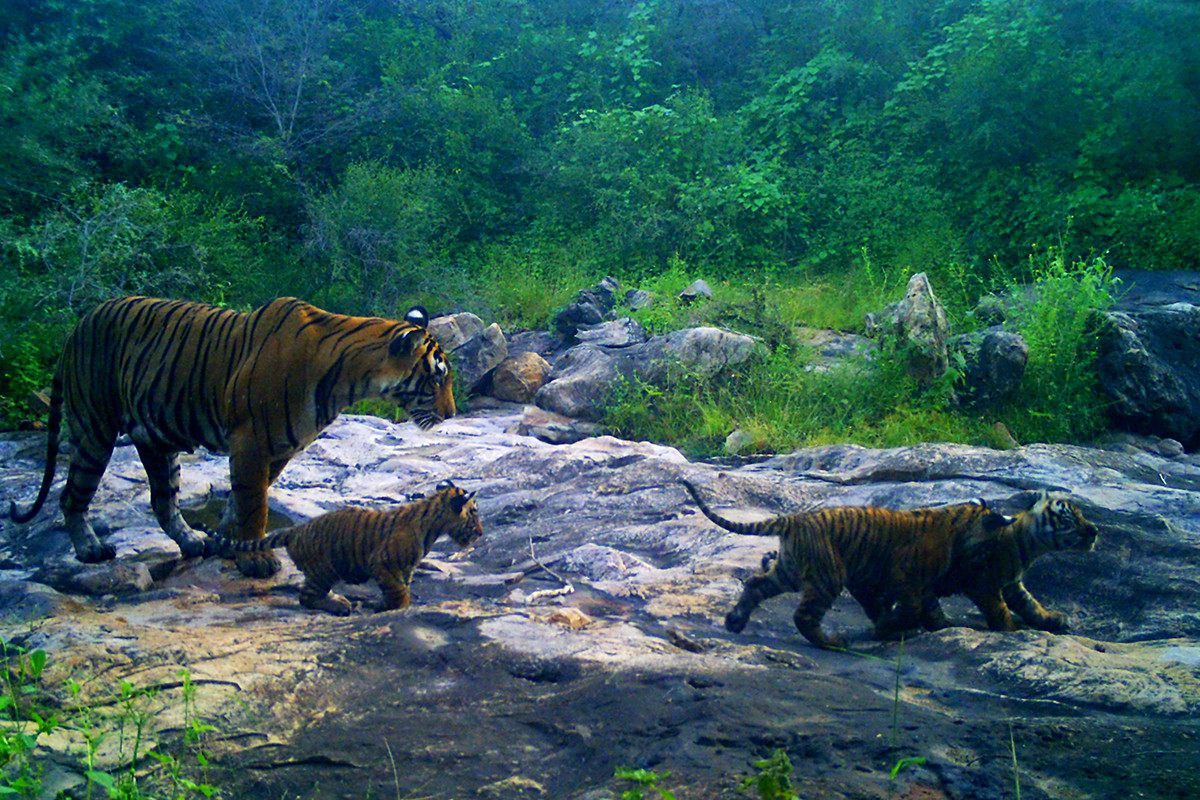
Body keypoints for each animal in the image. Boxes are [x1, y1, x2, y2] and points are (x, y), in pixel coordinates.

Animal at [9, 296, 455, 579]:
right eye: (436, 378)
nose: (451, 413)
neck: (348, 379)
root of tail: (79, 324)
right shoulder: (251, 441)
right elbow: (254, 504)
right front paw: (256, 561)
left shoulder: (279, 449)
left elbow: (241, 500)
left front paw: (227, 542)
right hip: (95, 429)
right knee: (72, 495)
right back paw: (90, 549)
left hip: (156, 439)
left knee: (163, 499)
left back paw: (193, 542)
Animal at [209, 479, 482, 615]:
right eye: (475, 514)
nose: (480, 533)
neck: (433, 525)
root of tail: (295, 529)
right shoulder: (384, 564)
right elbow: (398, 591)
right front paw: (397, 608)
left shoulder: (404, 568)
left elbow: (400, 587)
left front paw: (383, 606)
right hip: (324, 569)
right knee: (306, 597)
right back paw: (338, 605)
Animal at [681, 480, 1098, 649]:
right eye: (1071, 518)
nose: (1094, 530)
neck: (1024, 542)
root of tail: (795, 518)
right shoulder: (951, 583)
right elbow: (993, 609)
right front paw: (1009, 629)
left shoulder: (1008, 582)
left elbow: (1030, 603)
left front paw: (1053, 620)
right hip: (828, 576)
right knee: (803, 616)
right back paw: (833, 642)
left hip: (791, 571)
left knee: (755, 585)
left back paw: (735, 621)